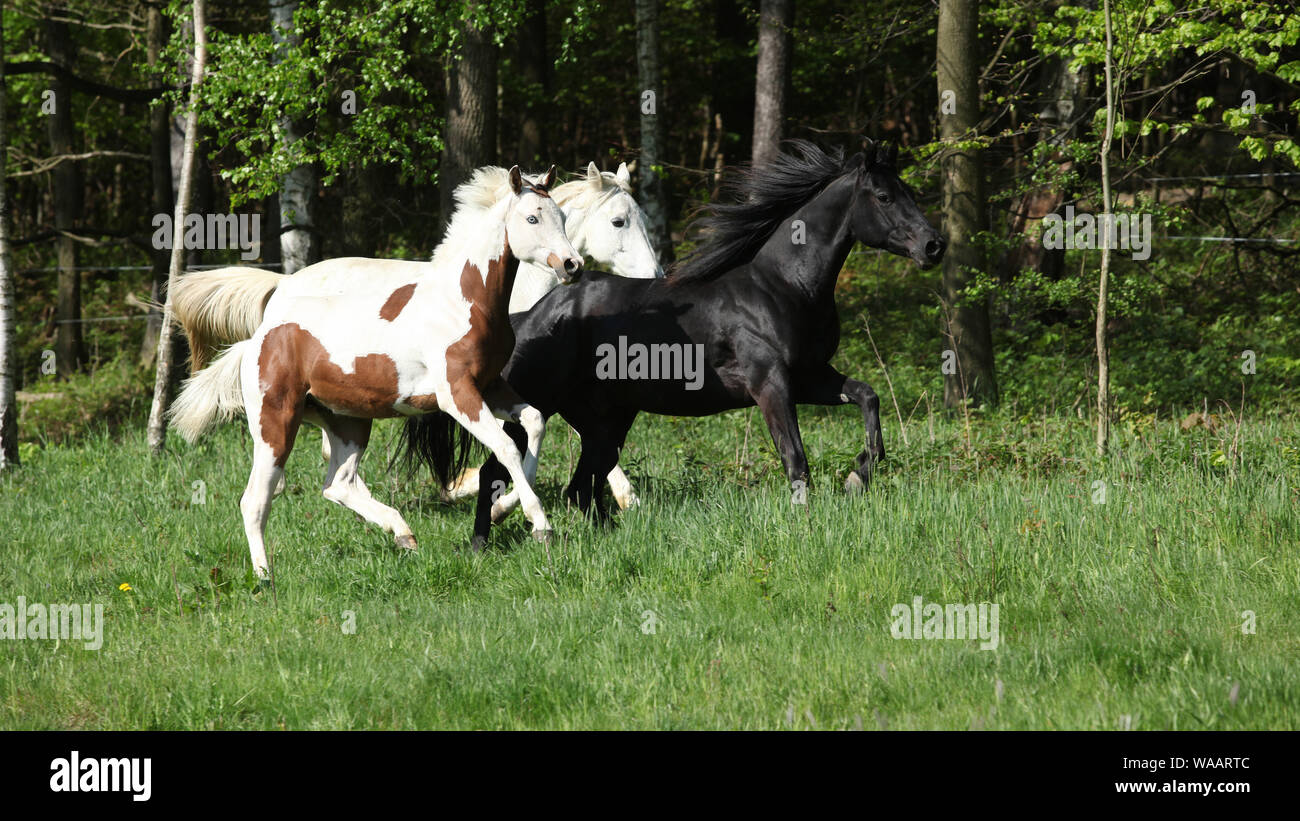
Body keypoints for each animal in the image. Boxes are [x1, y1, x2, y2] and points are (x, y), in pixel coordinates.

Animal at [167, 165, 582, 580]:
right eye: (532, 218)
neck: (462, 302)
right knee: (255, 500)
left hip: (347, 424)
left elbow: (534, 421)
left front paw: (505, 509)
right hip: (275, 424)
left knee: (337, 484)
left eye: (562, 216)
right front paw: (539, 523)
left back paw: (403, 535)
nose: (572, 265)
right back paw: (265, 577)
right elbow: (507, 446)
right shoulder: (457, 395)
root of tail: (259, 337)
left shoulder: (492, 386)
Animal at [444, 140, 946, 547]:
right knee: (500, 470)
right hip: (538, 406)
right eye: (884, 197)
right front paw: (805, 523)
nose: (934, 246)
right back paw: (485, 544)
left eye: (908, 192)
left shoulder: (811, 378)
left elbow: (867, 397)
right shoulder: (772, 387)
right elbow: (795, 459)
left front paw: (857, 477)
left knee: (582, 486)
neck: (784, 287)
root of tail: (530, 315)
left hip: (604, 419)